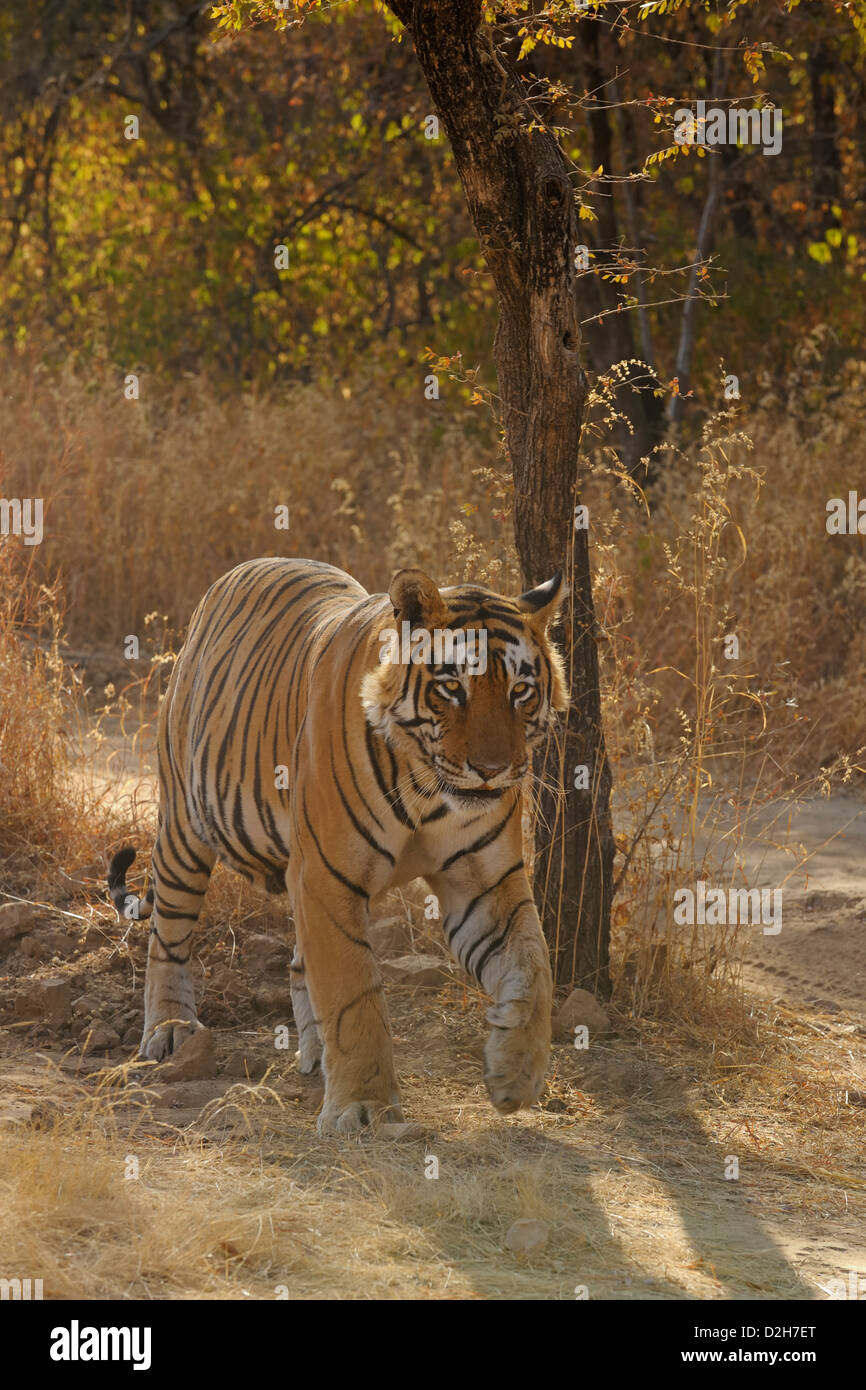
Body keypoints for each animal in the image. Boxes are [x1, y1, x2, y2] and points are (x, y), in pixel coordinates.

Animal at [107, 557, 568, 1134]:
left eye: (521, 692)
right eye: (452, 688)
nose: (492, 770)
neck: (428, 790)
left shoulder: (485, 883)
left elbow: (534, 968)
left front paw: (515, 1075)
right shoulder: (326, 875)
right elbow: (354, 993)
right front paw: (363, 1107)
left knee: (297, 964)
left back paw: (313, 1053)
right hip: (185, 826)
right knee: (168, 935)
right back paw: (169, 1030)